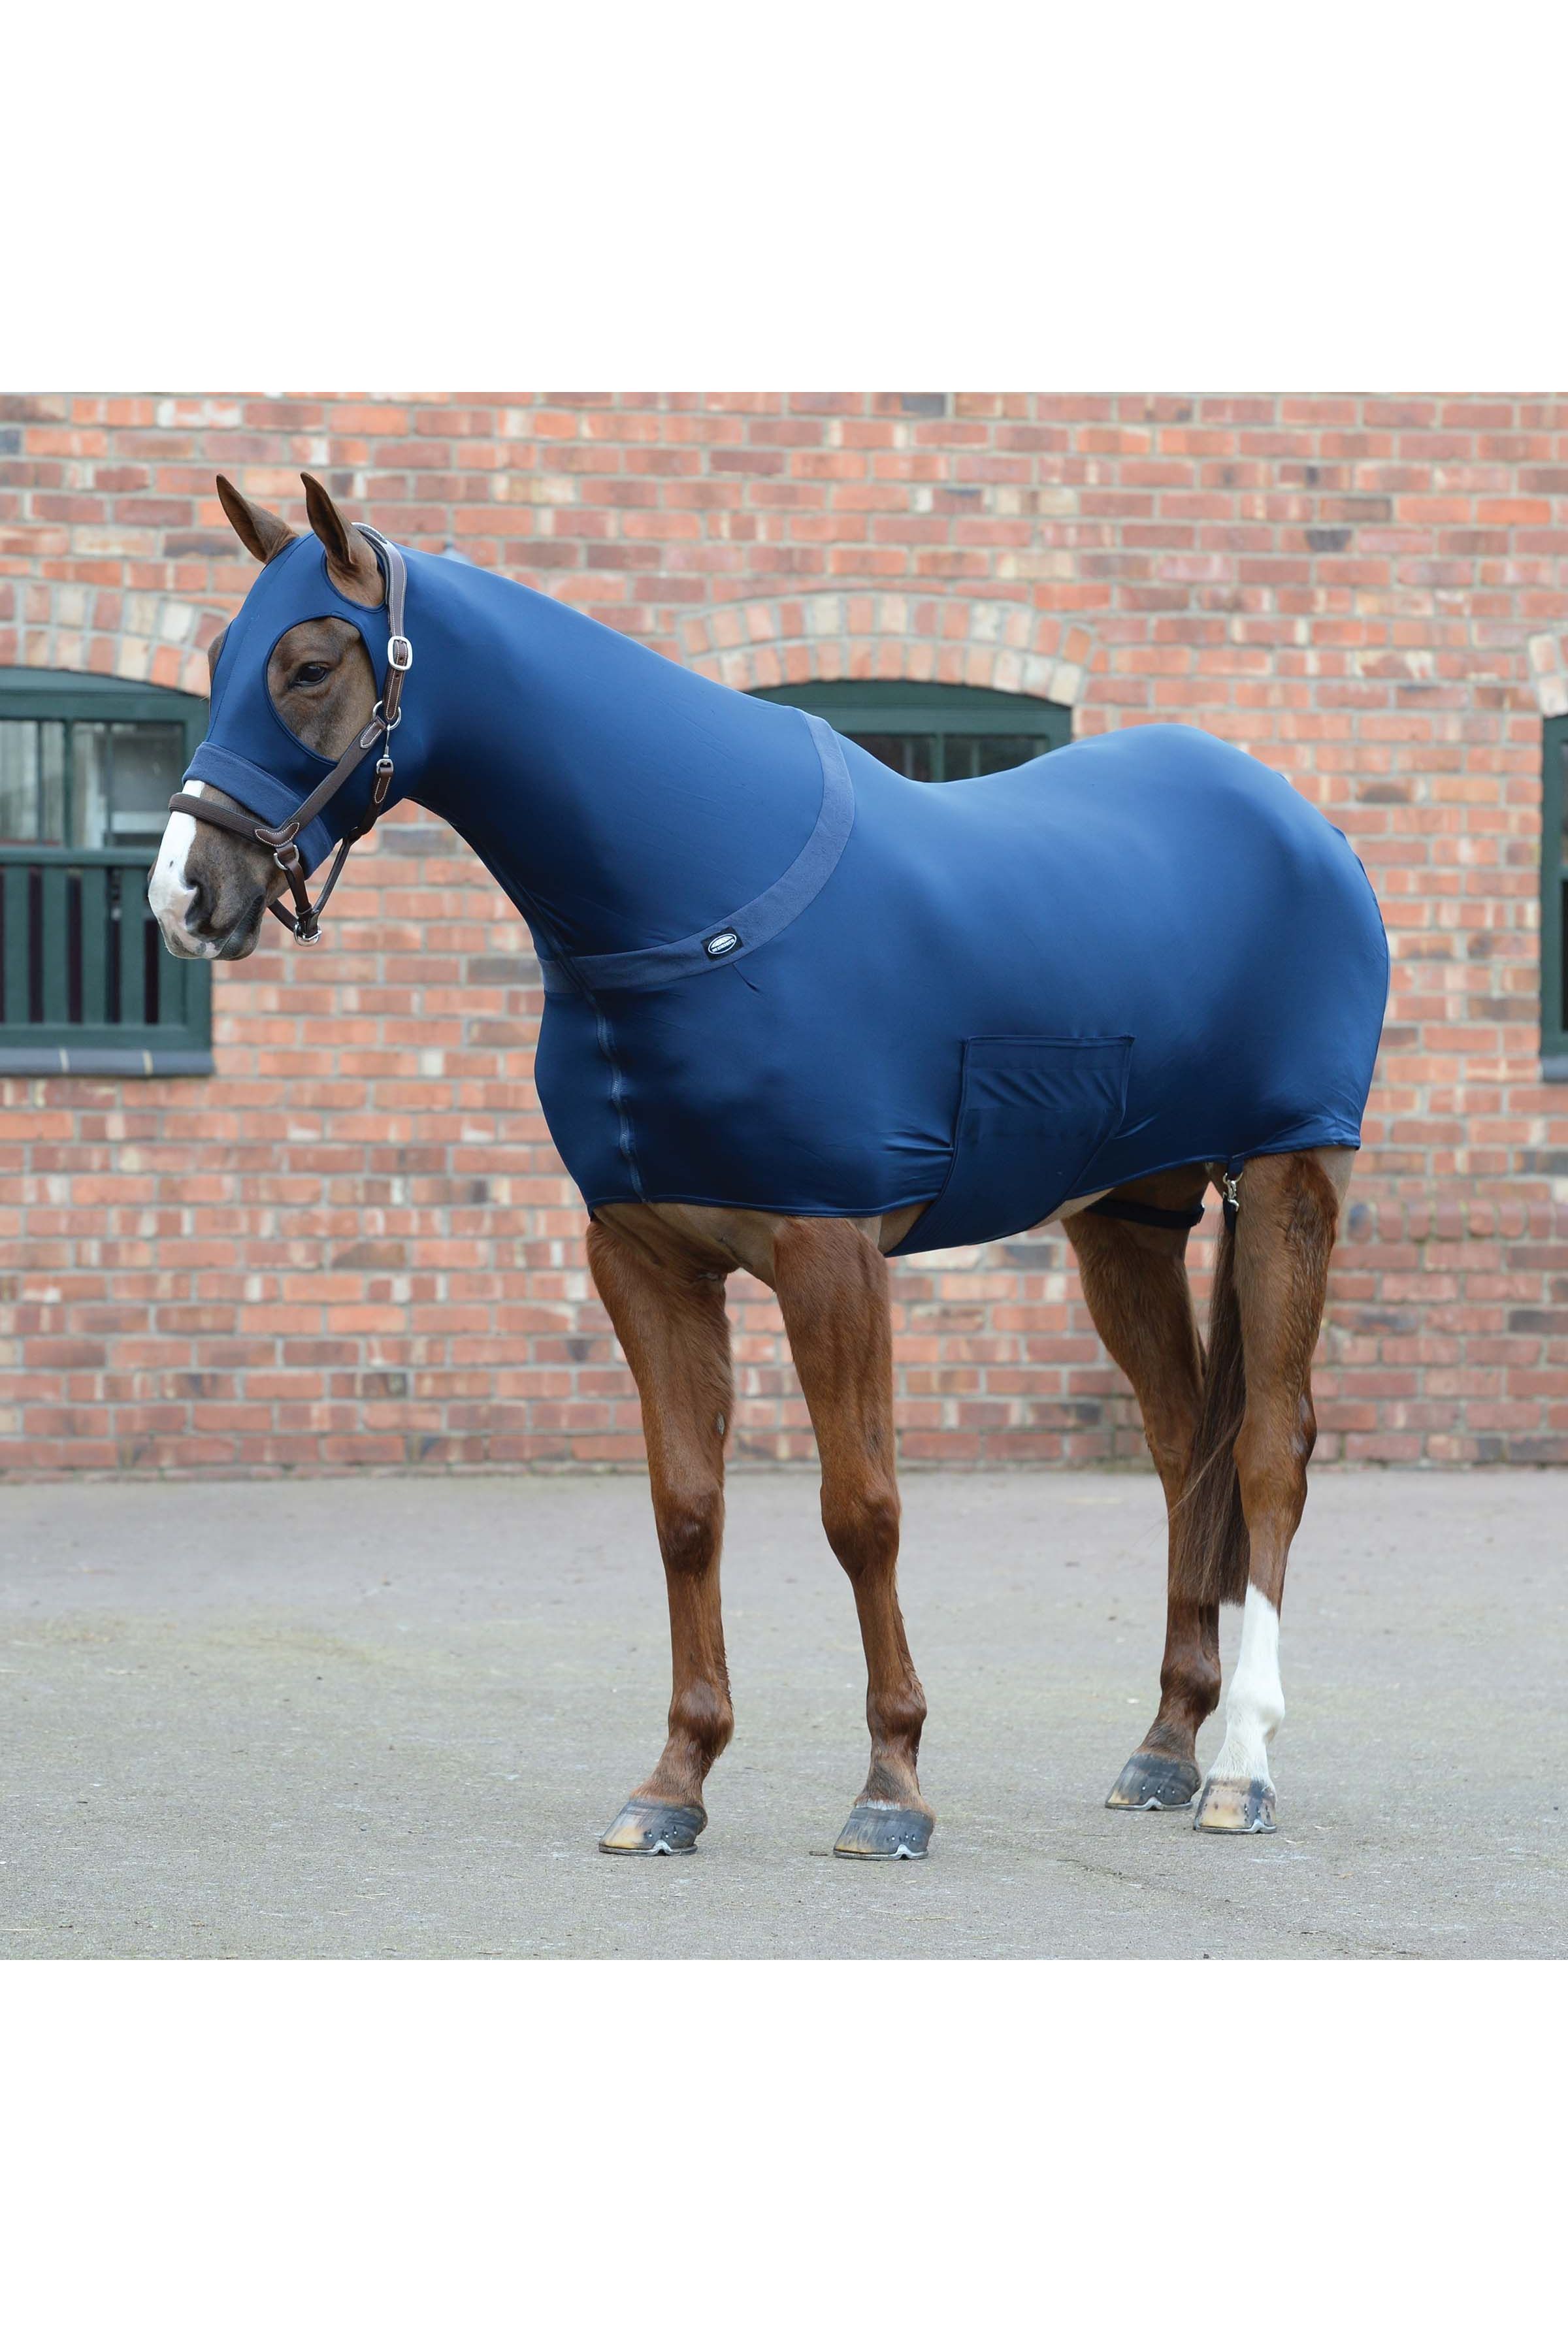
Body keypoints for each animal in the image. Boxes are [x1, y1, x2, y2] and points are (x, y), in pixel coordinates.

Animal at [150, 474, 1388, 1858]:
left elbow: (862, 1512)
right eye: (221, 655)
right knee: (1185, 1451)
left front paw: (891, 1788)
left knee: (1272, 1450)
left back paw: (1242, 1767)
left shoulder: (829, 1248)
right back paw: (1165, 1746)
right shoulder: (642, 1258)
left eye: (310, 664)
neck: (698, 897)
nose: (185, 895)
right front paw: (673, 1786)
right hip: (1127, 1218)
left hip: (1291, 1180)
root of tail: (1303, 822)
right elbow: (688, 1511)